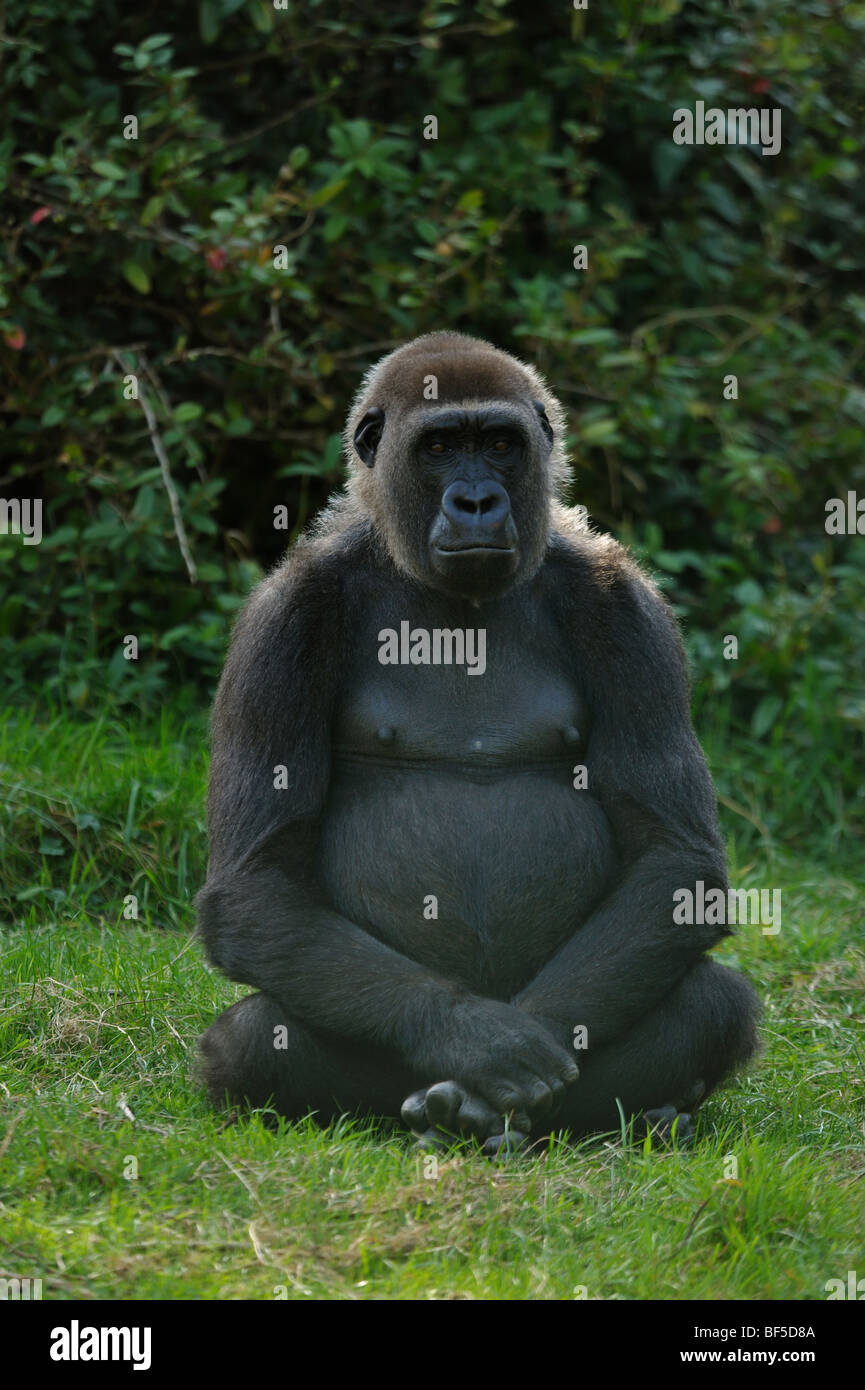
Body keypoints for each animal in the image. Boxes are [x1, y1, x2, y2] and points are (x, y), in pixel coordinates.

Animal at [196, 330, 760, 1154]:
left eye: (498, 444)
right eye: (437, 448)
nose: (475, 503)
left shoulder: (626, 607)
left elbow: (675, 862)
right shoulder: (283, 618)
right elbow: (252, 883)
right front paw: (479, 1040)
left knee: (716, 1004)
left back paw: (630, 1115)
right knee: (251, 1037)